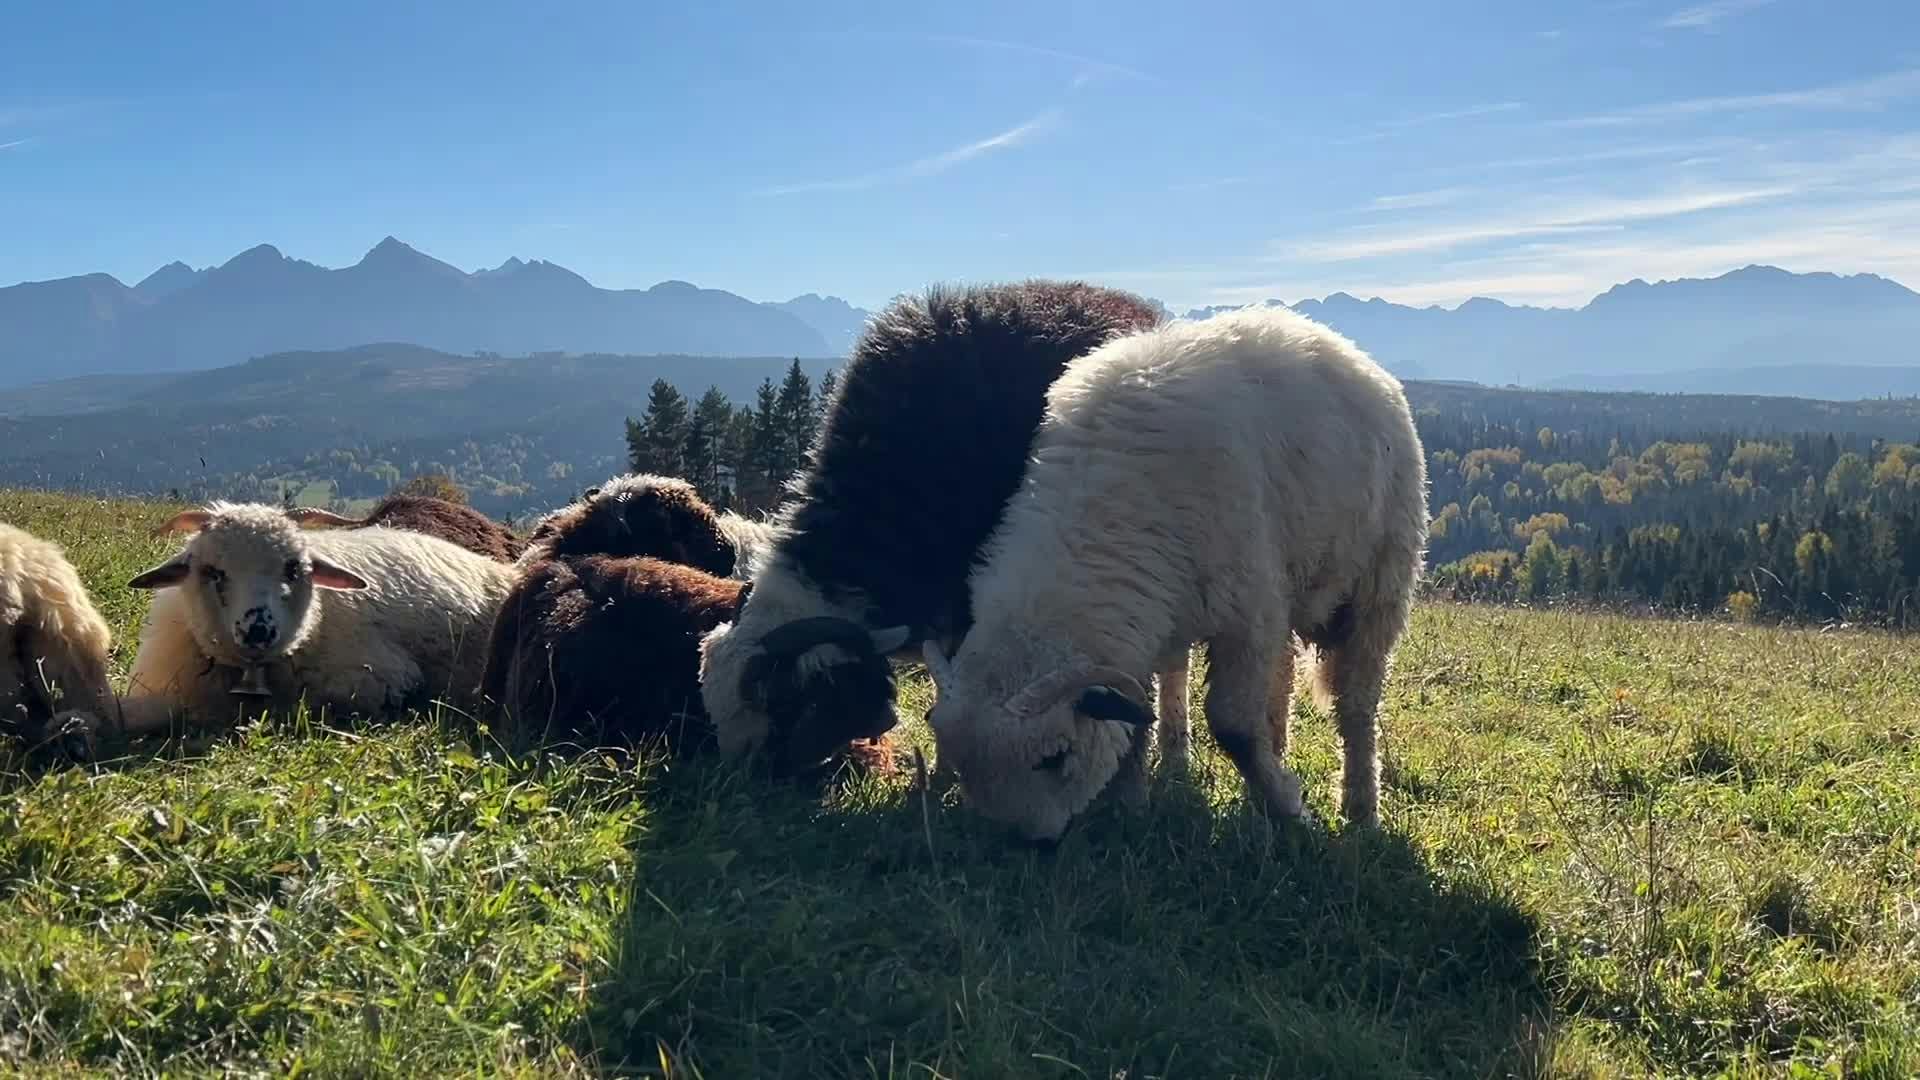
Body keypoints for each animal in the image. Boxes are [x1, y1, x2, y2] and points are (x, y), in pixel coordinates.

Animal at [920, 304, 1430, 843]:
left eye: (1055, 758)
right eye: (964, 769)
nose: (1035, 846)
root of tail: (1332, 341)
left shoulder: (1248, 612)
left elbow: (1232, 726)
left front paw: (1289, 807)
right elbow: (1139, 713)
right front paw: (1132, 802)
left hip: (1378, 580)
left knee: (1357, 703)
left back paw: (1360, 808)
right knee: (1279, 674)